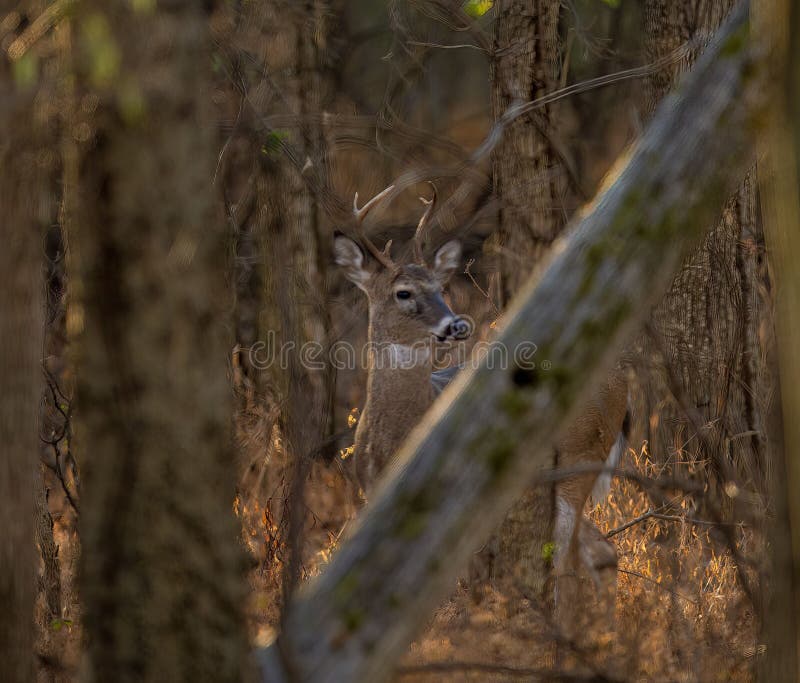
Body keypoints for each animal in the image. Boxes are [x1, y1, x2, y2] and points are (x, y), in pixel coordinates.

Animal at [334, 183, 630, 639]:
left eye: (440, 287)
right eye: (404, 292)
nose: (454, 324)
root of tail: (623, 385)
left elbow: (465, 587)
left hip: (577, 463)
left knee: (568, 563)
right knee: (602, 552)